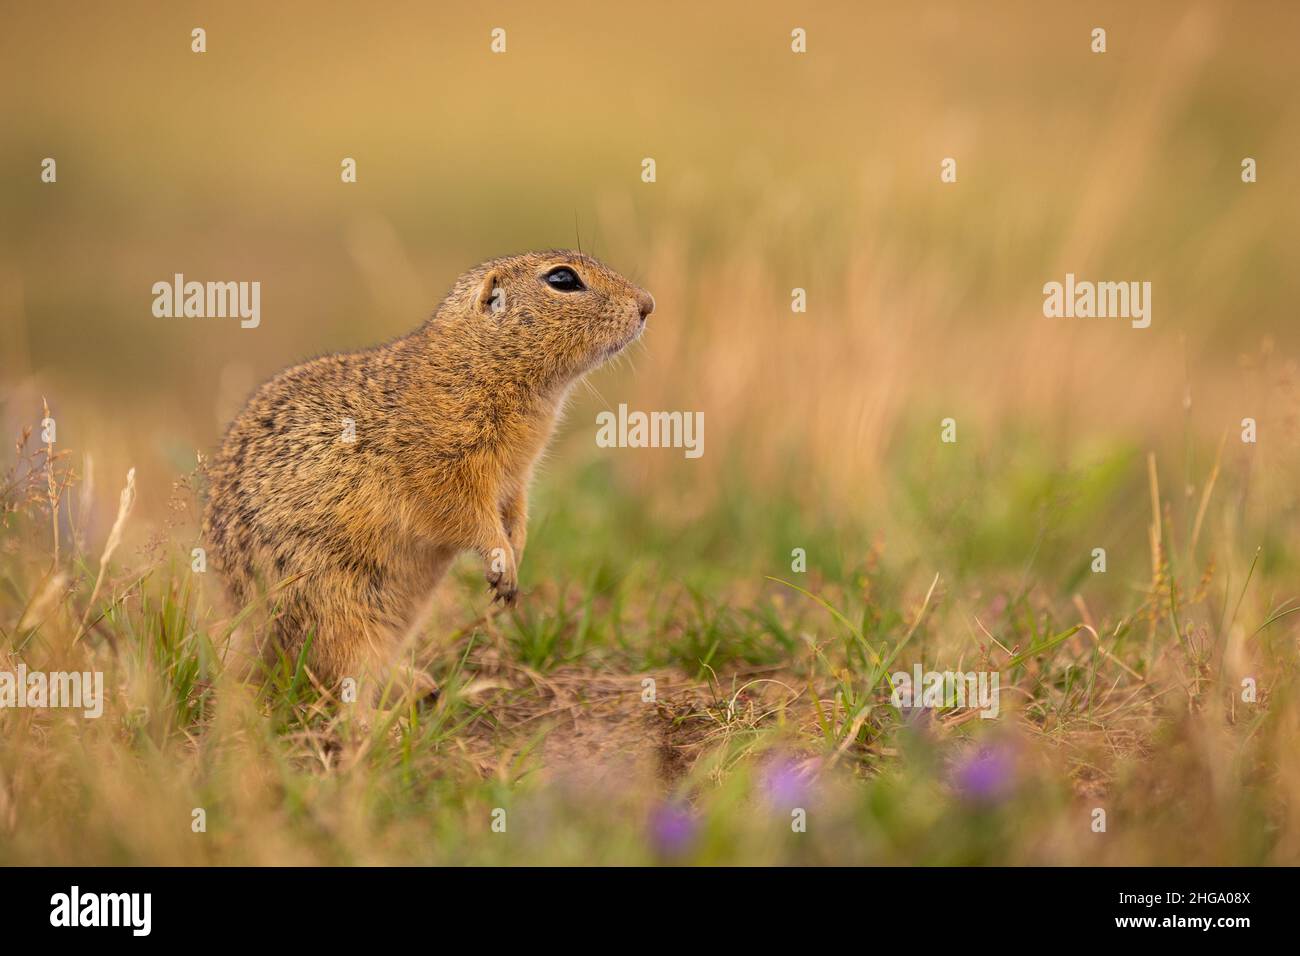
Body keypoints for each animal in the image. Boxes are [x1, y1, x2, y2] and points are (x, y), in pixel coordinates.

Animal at [202, 250, 654, 697]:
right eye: (563, 280)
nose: (647, 304)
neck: (476, 363)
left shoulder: (515, 479)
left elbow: (515, 512)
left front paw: (517, 553)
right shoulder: (442, 470)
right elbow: (467, 517)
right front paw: (502, 565)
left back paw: (415, 682)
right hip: (338, 608)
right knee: (339, 676)